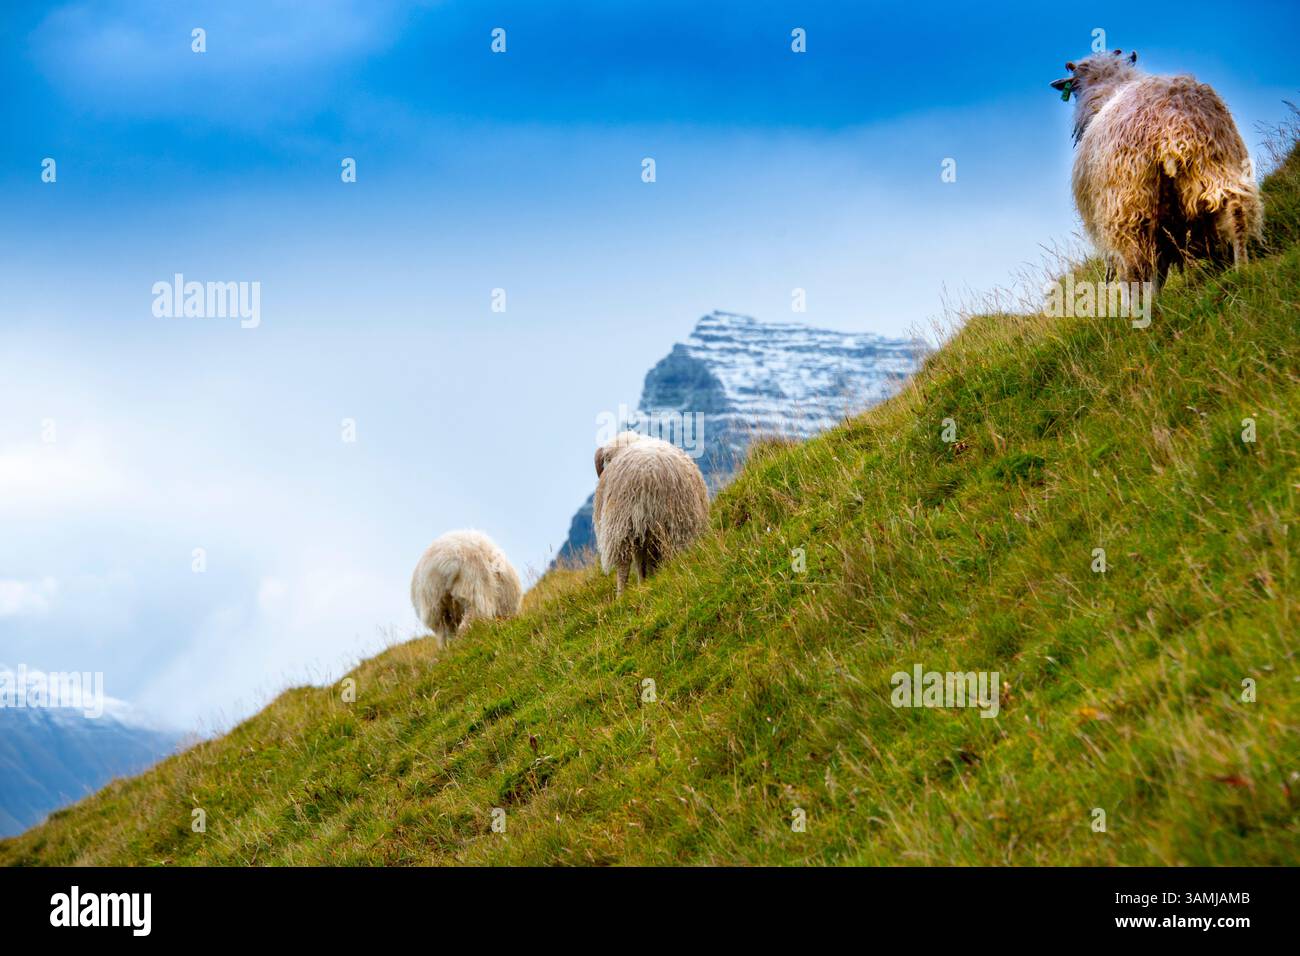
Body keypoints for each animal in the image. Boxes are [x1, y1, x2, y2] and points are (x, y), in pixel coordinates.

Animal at [593, 431, 709, 596]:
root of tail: (651, 477)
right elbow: (644, 562)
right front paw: (645, 583)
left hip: (622, 522)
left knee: (624, 564)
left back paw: (621, 596)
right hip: (676, 525)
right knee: (666, 556)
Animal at [1052, 50, 1262, 295]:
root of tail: (1171, 121)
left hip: (1129, 204)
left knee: (1133, 265)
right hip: (1215, 161)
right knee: (1235, 208)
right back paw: (1242, 269)